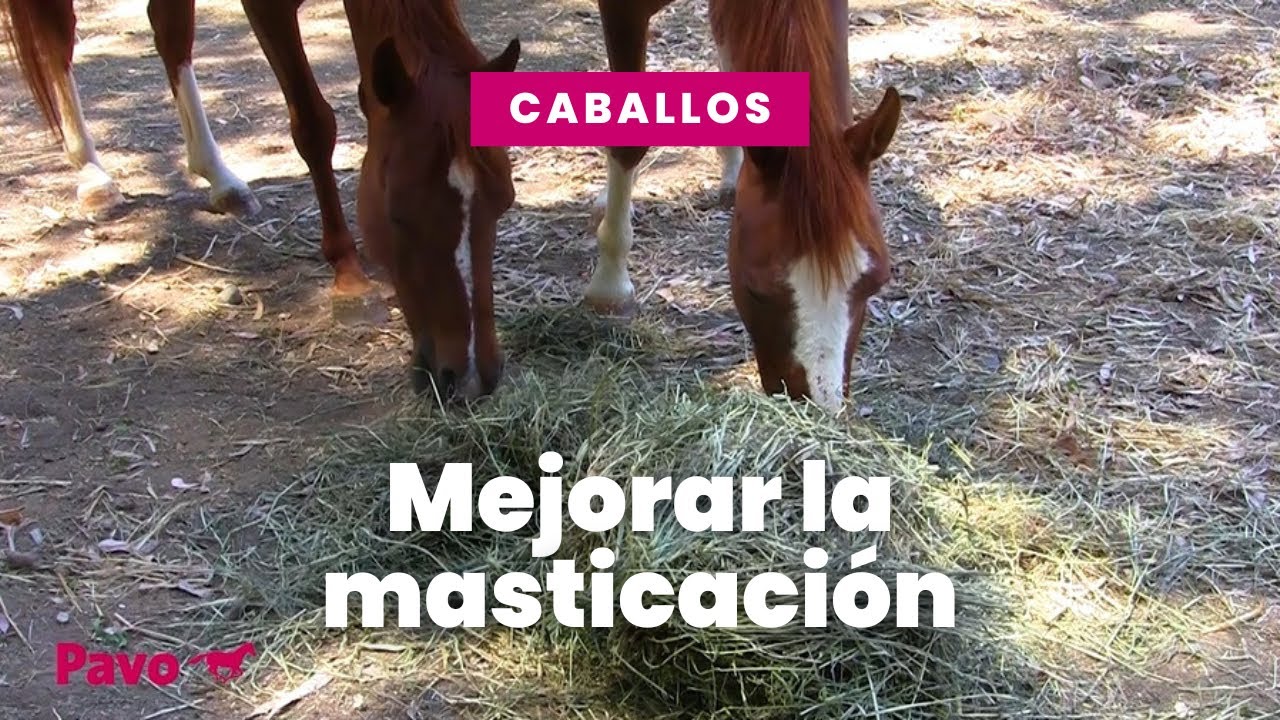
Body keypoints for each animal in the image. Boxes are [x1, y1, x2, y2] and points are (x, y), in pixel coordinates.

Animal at [0, 0, 521, 399]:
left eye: (504, 202)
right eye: (397, 216)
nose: (469, 378)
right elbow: (313, 124)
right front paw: (348, 275)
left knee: (169, 28)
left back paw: (219, 177)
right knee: (59, 32)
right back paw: (92, 172)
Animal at [591, 0, 901, 410]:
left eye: (875, 283)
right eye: (757, 290)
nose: (817, 408)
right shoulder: (622, 11)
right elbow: (627, 141)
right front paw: (609, 283)